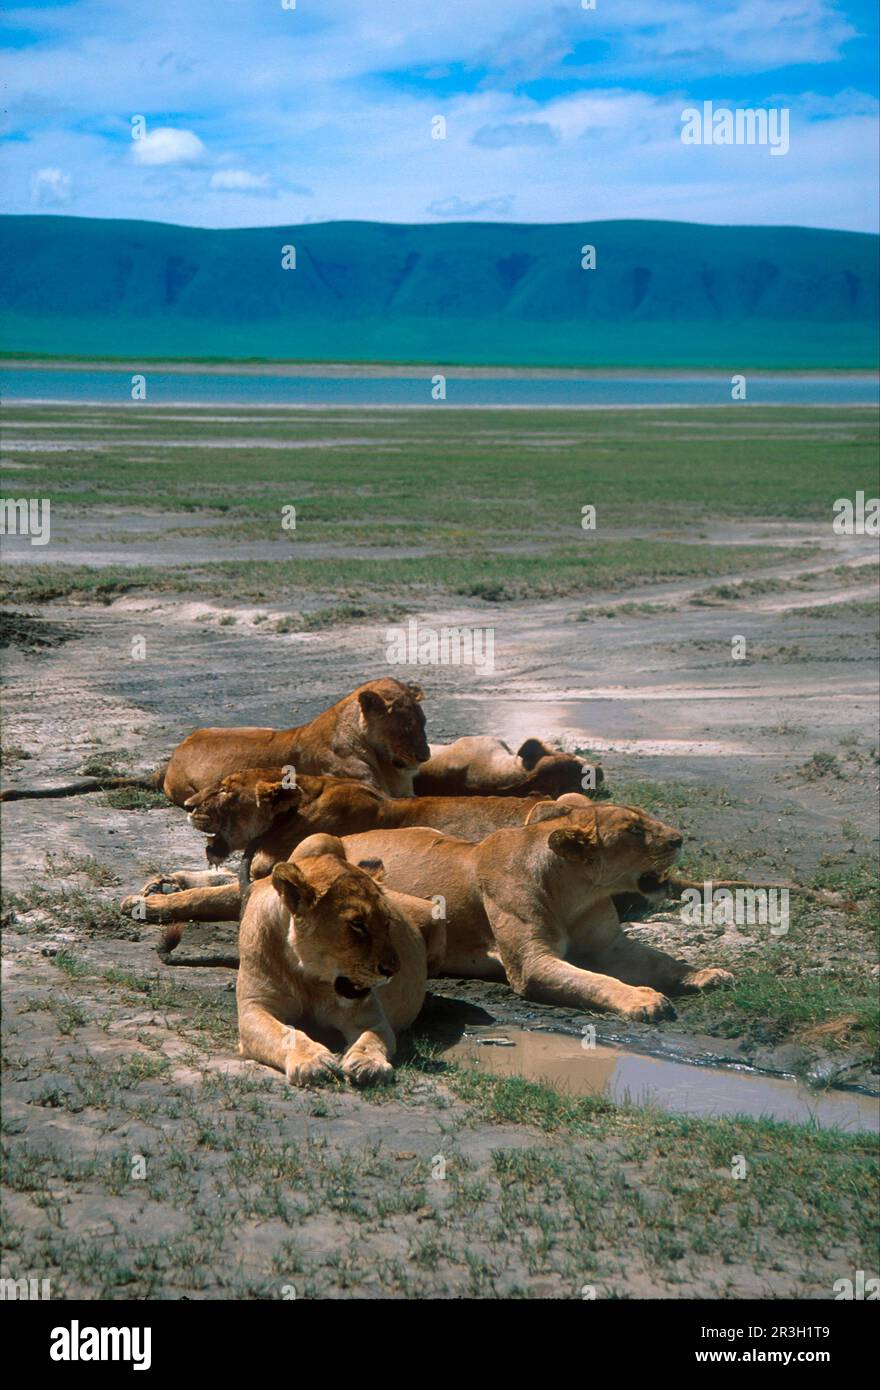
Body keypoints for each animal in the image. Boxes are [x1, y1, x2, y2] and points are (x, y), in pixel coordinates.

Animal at [237, 834, 444, 1087]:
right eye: (357, 924)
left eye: (387, 922)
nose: (394, 969)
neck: (306, 974)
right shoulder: (255, 1007)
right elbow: (286, 1034)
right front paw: (313, 1061)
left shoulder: (370, 1016)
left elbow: (371, 1038)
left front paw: (368, 1064)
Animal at [333, 801, 733, 1022]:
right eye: (634, 830)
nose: (679, 839)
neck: (577, 892)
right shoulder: (532, 963)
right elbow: (596, 980)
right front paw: (643, 999)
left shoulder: (610, 946)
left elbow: (662, 960)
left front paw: (706, 973)